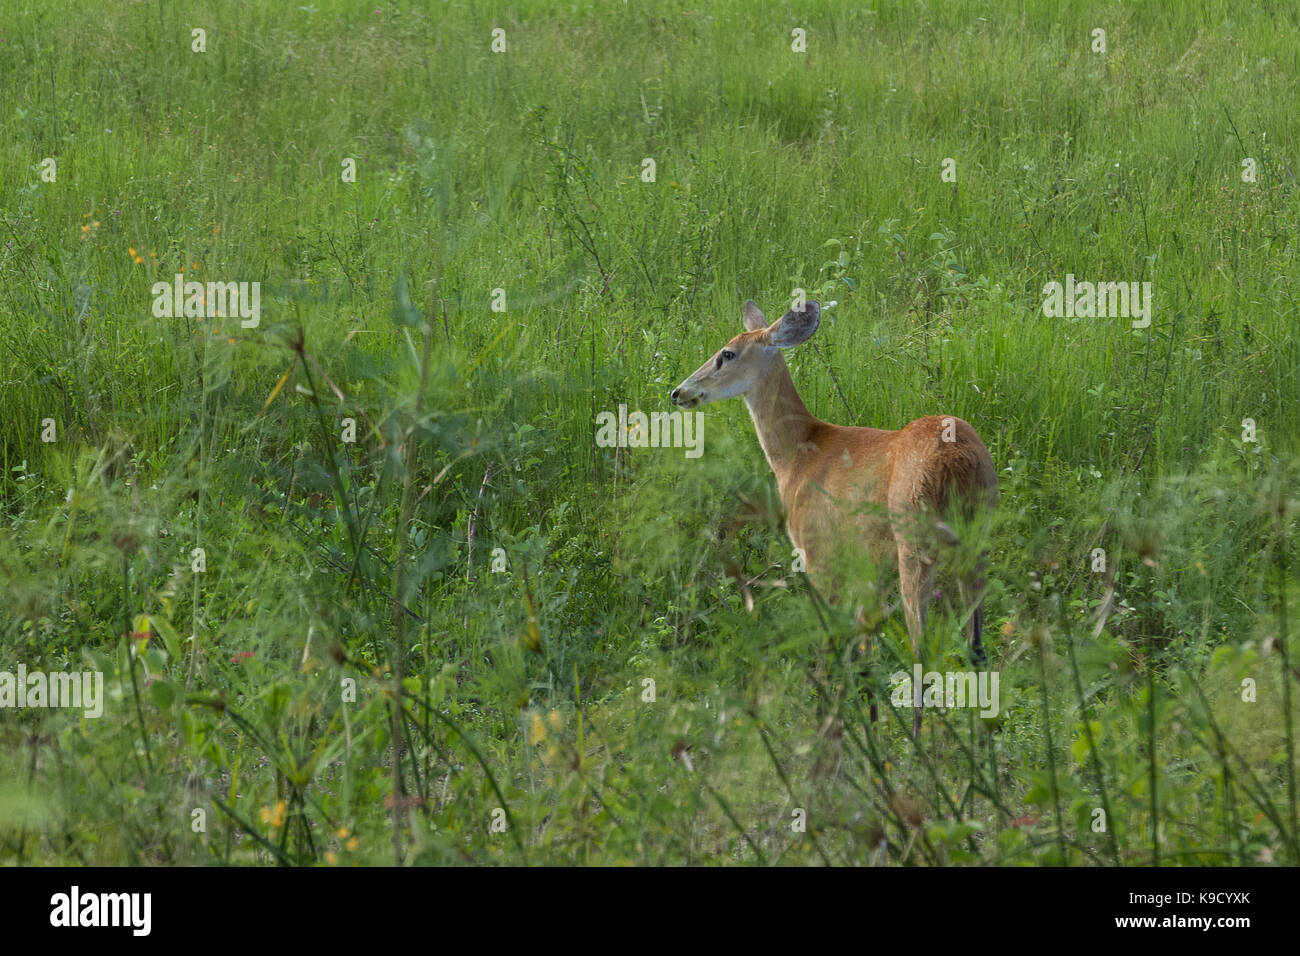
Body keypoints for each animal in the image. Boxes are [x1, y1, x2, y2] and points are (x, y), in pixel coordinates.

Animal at [670, 299, 997, 737]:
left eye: (728, 353)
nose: (679, 392)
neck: (799, 455)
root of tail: (958, 457)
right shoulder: (867, 562)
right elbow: (865, 646)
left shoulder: (819, 553)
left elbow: (830, 644)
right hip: (977, 541)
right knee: (977, 647)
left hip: (915, 545)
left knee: (920, 651)